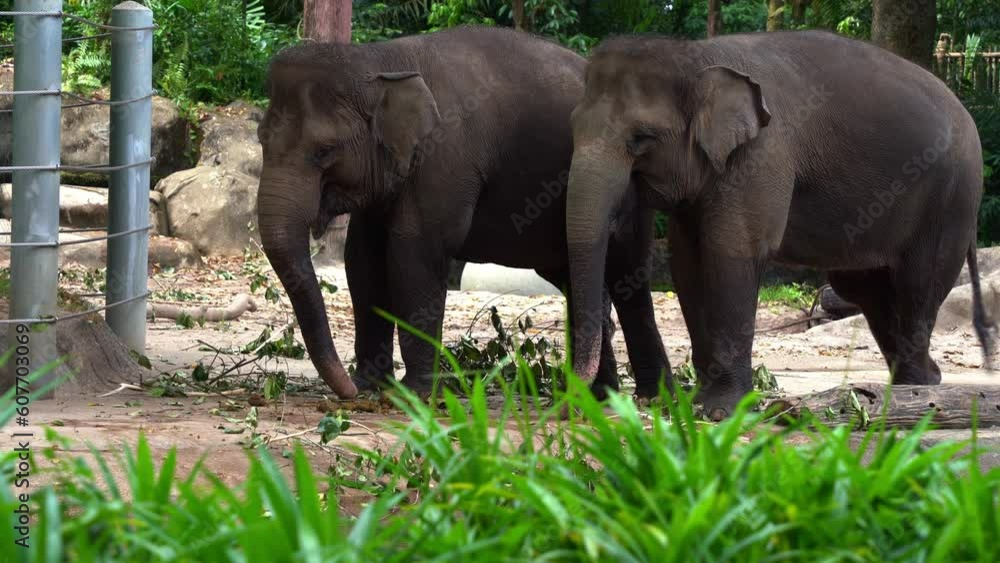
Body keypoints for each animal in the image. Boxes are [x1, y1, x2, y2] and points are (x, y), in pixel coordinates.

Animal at [256, 26, 668, 400]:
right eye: (261, 139)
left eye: (324, 151)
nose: (347, 392)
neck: (381, 59)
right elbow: (362, 260)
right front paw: (370, 385)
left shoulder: (445, 159)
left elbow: (414, 254)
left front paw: (414, 395)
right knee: (573, 278)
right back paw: (597, 396)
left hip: (630, 191)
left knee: (627, 275)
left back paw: (648, 397)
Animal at [564, 30, 993, 420]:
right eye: (573, 126)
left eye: (642, 138)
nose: (577, 398)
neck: (696, 54)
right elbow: (687, 260)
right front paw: (698, 403)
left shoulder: (763, 154)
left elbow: (729, 252)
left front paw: (720, 411)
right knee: (866, 288)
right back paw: (918, 386)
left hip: (950, 198)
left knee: (915, 285)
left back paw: (917, 394)